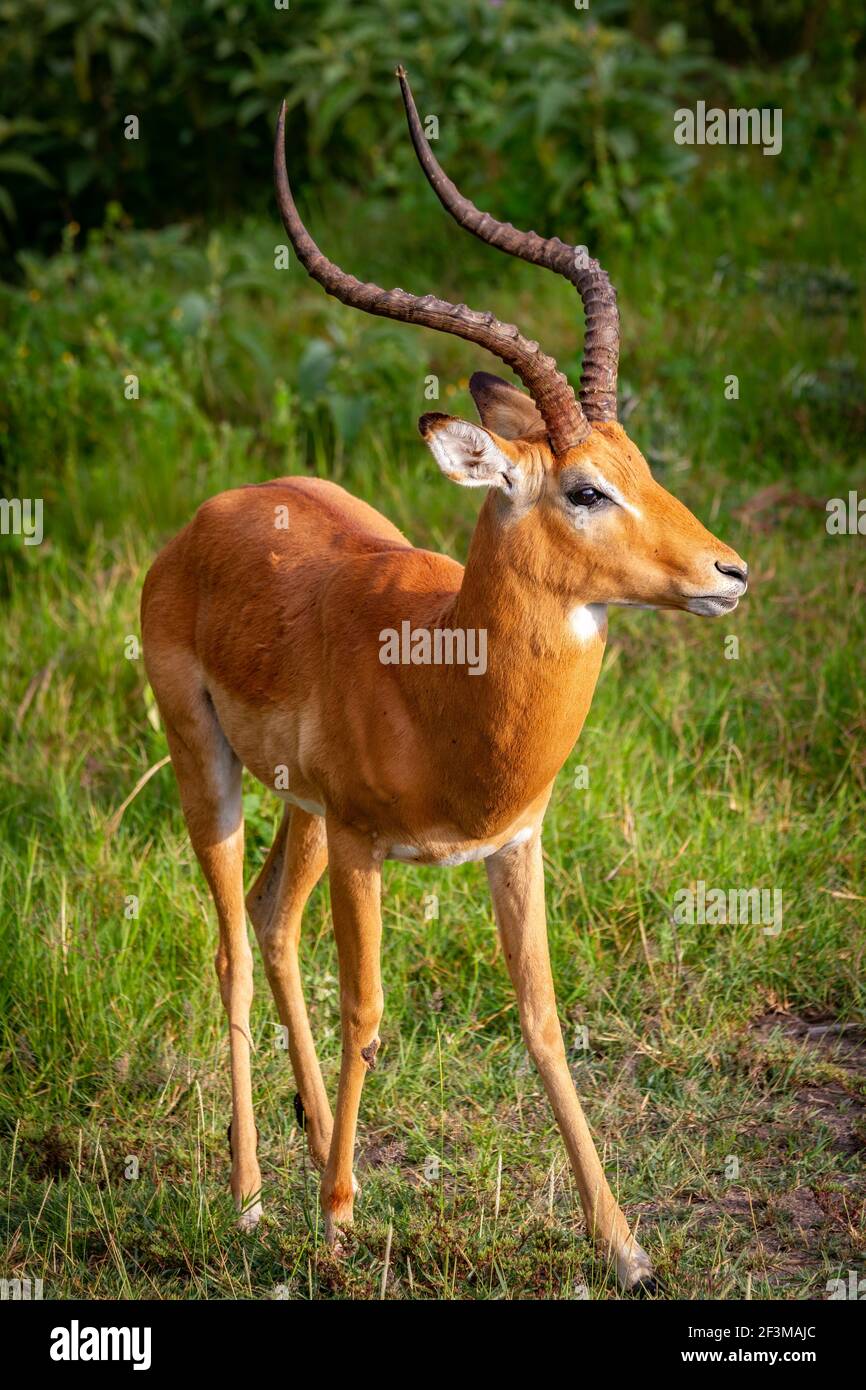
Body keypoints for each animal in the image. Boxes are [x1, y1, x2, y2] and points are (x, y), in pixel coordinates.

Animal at [140, 68, 748, 1294]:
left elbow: (544, 1020)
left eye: (640, 465)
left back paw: (310, 1150)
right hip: (208, 766)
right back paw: (253, 1199)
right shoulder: (370, 848)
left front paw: (624, 1245)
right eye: (582, 490)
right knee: (231, 947)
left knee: (272, 922)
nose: (728, 573)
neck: (447, 684)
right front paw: (334, 1224)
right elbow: (370, 1010)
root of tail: (208, 519)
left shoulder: (515, 843)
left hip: (303, 812)